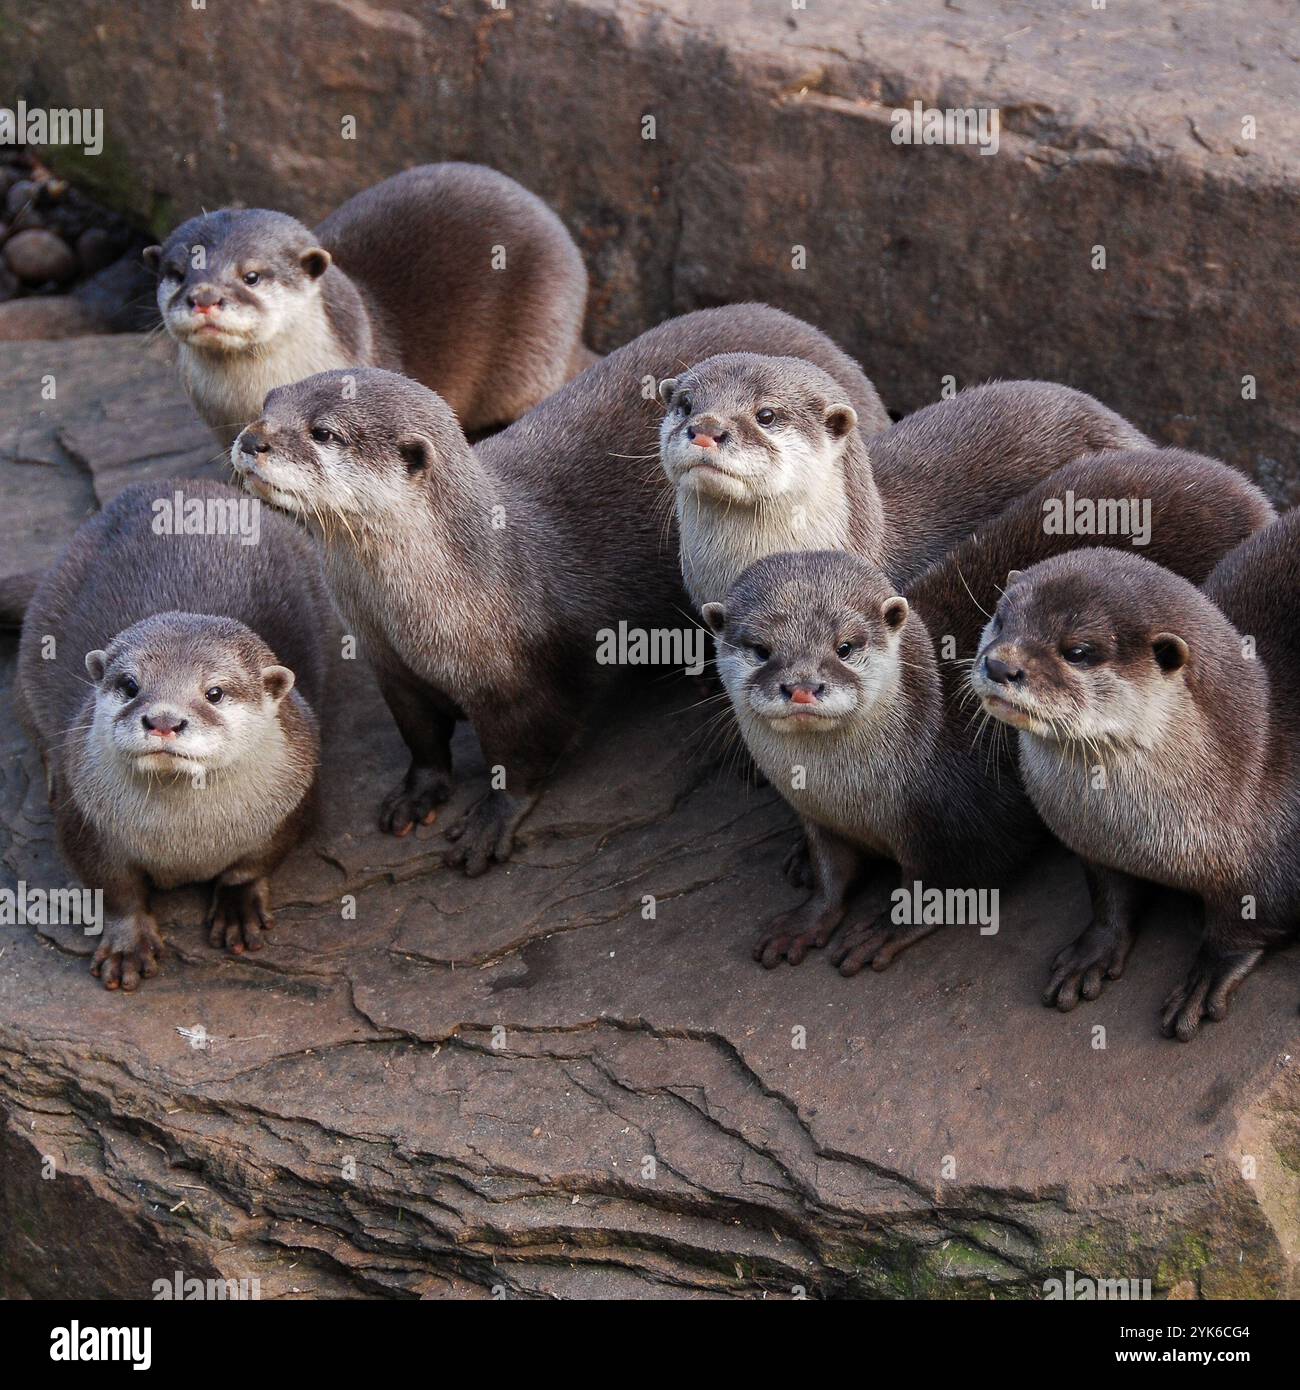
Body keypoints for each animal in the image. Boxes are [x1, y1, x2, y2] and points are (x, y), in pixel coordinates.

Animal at [15, 479, 328, 990]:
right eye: (130, 685)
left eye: (215, 692)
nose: (163, 719)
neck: (184, 844)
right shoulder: (85, 821)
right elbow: (114, 889)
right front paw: (127, 944)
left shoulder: (295, 799)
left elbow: (255, 862)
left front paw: (238, 907)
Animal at [230, 303, 885, 875]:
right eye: (267, 403)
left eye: (322, 433)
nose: (252, 439)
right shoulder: (389, 666)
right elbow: (421, 737)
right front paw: (417, 794)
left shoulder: (518, 680)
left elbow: (522, 752)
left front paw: (491, 821)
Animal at [702, 448, 1273, 976]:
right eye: (759, 649)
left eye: (845, 647)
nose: (801, 687)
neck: (853, 795)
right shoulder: (819, 815)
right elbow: (831, 871)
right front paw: (805, 918)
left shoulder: (957, 822)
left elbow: (943, 884)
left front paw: (883, 929)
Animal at [971, 507, 1300, 1040]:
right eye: (1000, 619)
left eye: (1078, 651)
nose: (1000, 665)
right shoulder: (1097, 847)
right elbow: (1110, 895)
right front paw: (1093, 951)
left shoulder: (1276, 866)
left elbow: (1244, 924)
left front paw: (1206, 976)